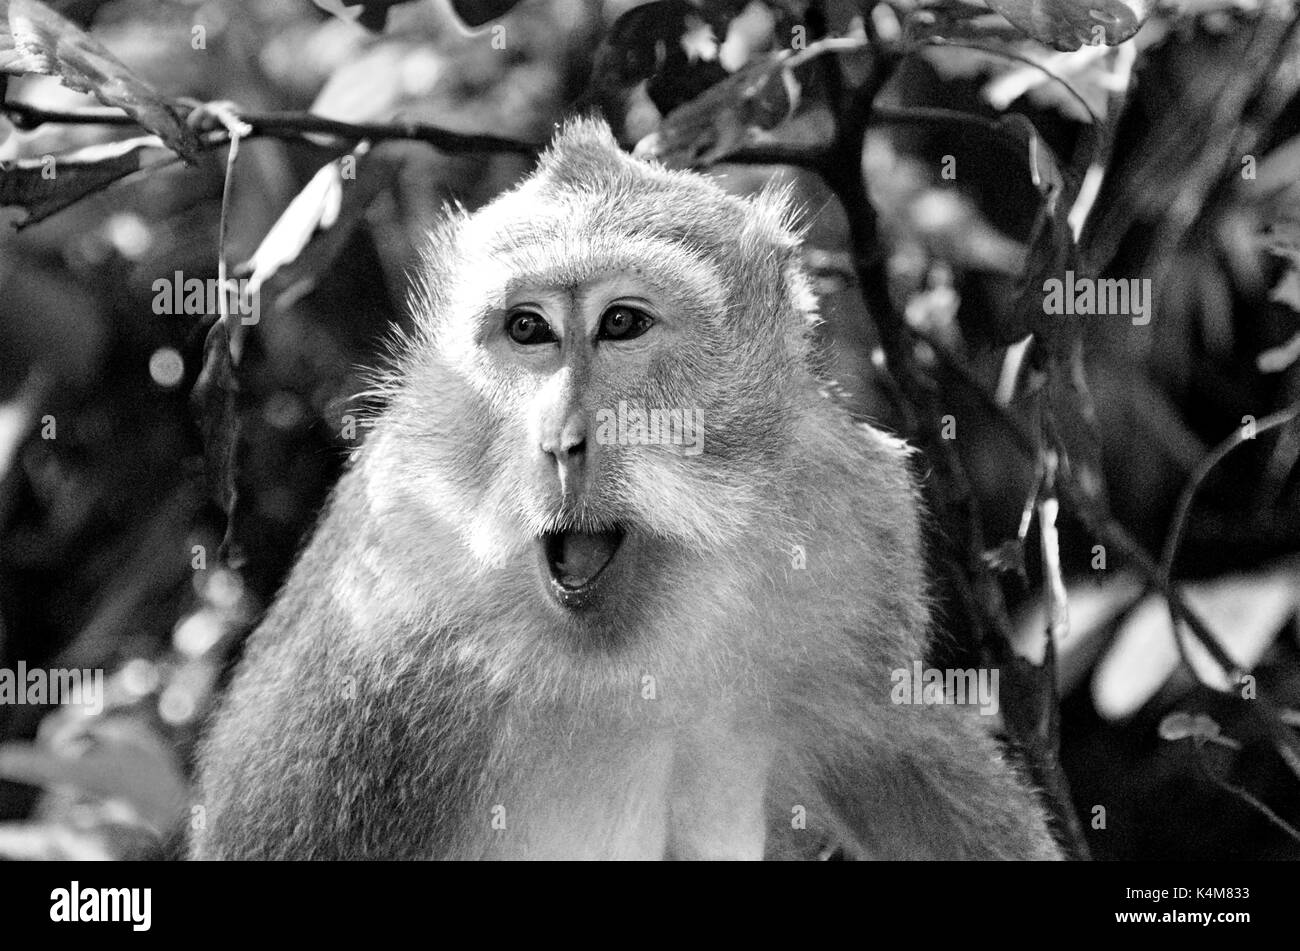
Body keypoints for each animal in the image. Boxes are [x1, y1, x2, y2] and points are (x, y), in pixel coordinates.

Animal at [191, 117, 1062, 861]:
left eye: (621, 323)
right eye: (529, 329)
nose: (559, 442)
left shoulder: (850, 515)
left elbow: (891, 745)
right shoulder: (386, 587)